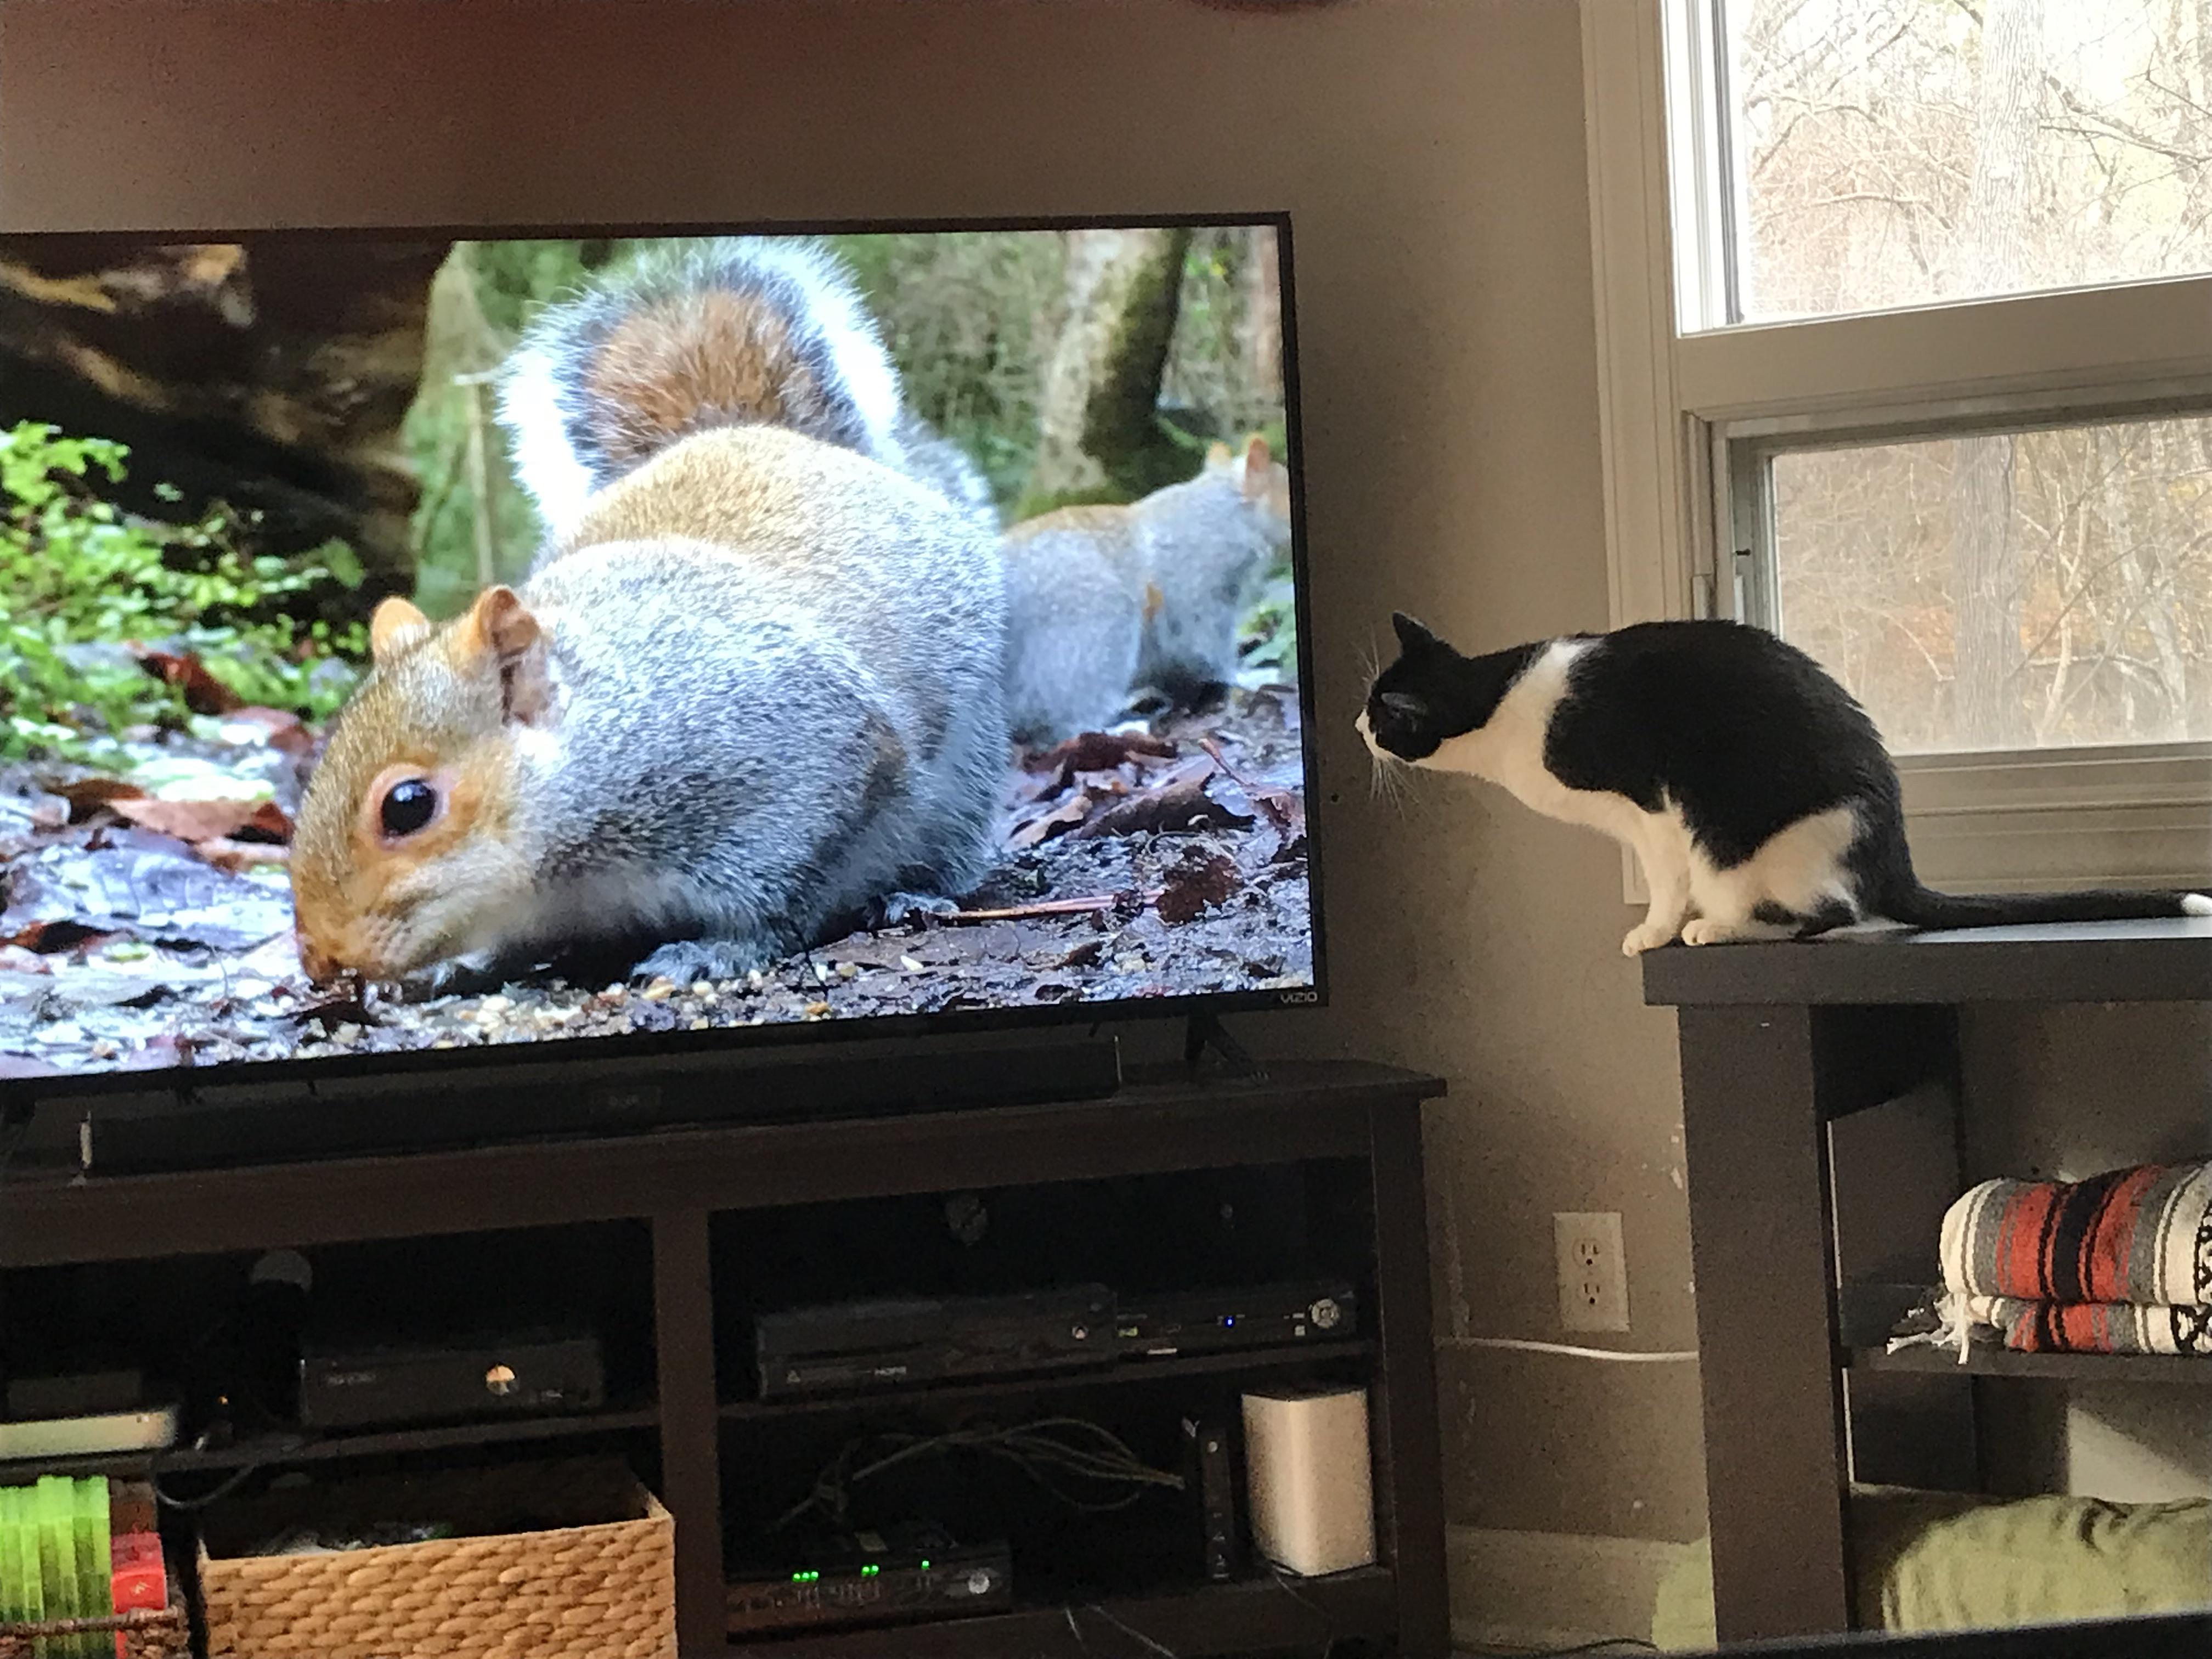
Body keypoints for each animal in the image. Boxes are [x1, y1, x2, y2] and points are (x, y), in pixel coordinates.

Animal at [289, 239, 1010, 986]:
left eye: (408, 806)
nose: (320, 960)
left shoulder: (801, 761)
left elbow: (787, 896)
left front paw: (715, 950)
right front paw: (458, 970)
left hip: (966, 775)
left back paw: (913, 894)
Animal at [1000, 435, 1292, 746]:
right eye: (1285, 493)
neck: (1224, 512)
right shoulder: (1197, 586)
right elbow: (1204, 648)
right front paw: (1246, 676)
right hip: (1090, 636)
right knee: (1057, 719)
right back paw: (1116, 729)